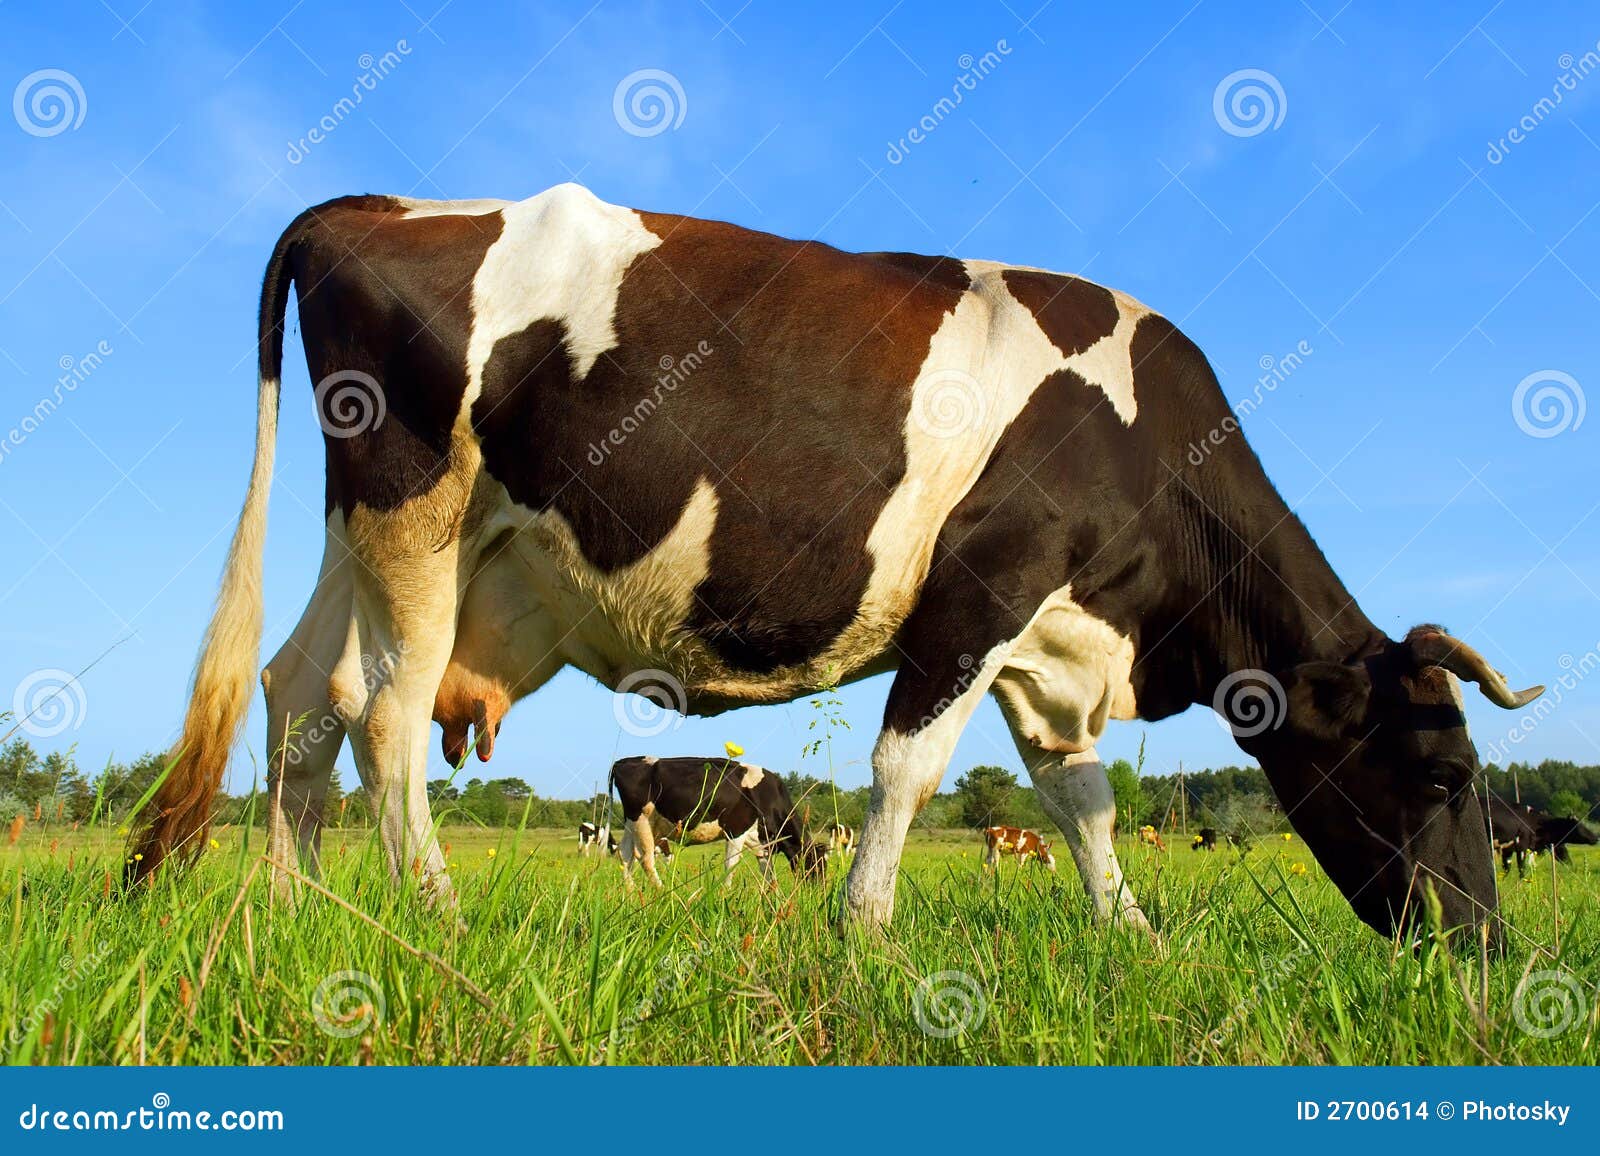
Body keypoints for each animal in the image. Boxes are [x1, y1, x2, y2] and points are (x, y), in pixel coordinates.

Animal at [609, 756, 824, 887]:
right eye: (816, 863)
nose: (817, 890)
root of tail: (624, 761)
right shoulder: (736, 830)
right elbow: (730, 865)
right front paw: (725, 895)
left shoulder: (761, 841)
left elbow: (767, 871)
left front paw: (771, 896)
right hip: (642, 820)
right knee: (645, 859)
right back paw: (662, 892)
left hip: (631, 824)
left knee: (625, 854)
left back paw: (630, 893)